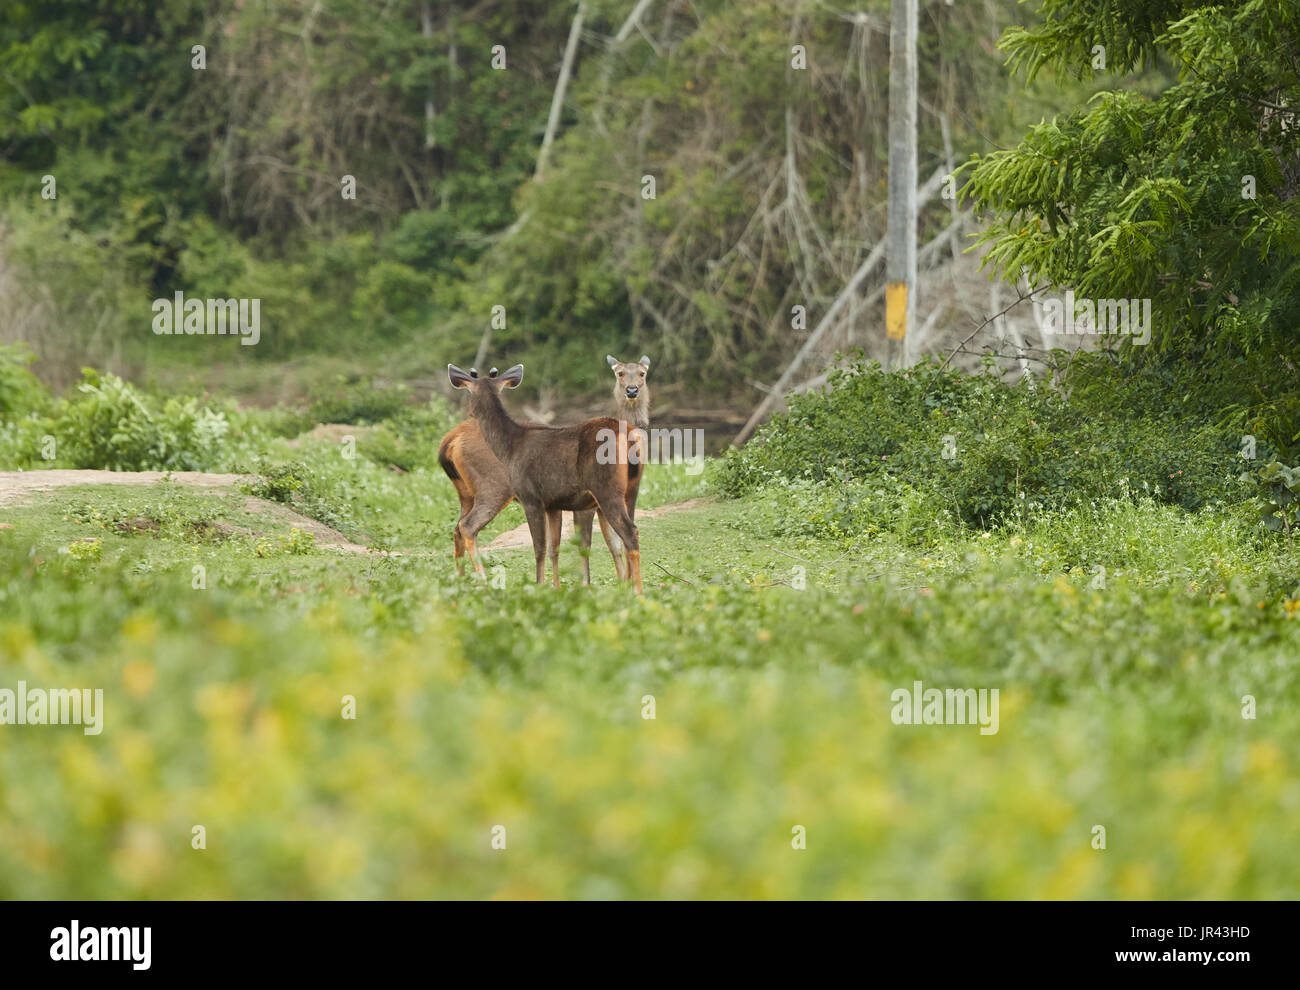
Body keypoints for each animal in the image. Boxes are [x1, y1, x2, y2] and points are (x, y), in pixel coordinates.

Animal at [438, 355, 651, 583]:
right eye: (620, 373)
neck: (511, 445)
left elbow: (543, 548)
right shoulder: (555, 504)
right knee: (460, 527)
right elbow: (558, 547)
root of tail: (450, 440)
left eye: (642, 373)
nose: (632, 390)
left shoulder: (532, 498)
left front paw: (544, 584)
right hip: (629, 489)